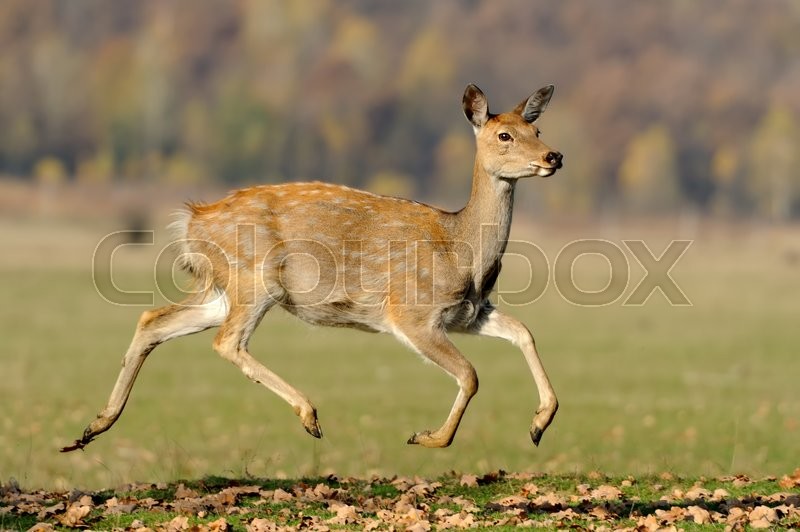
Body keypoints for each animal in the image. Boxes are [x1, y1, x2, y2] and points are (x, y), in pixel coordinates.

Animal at [61, 83, 563, 453]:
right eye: (504, 135)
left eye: (537, 128)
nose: (553, 156)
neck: (461, 247)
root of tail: (190, 220)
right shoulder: (411, 312)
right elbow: (471, 375)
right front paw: (429, 438)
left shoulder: (469, 313)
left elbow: (524, 332)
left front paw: (539, 424)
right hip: (255, 278)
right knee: (227, 342)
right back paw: (309, 414)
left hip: (221, 289)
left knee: (153, 319)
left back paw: (93, 427)